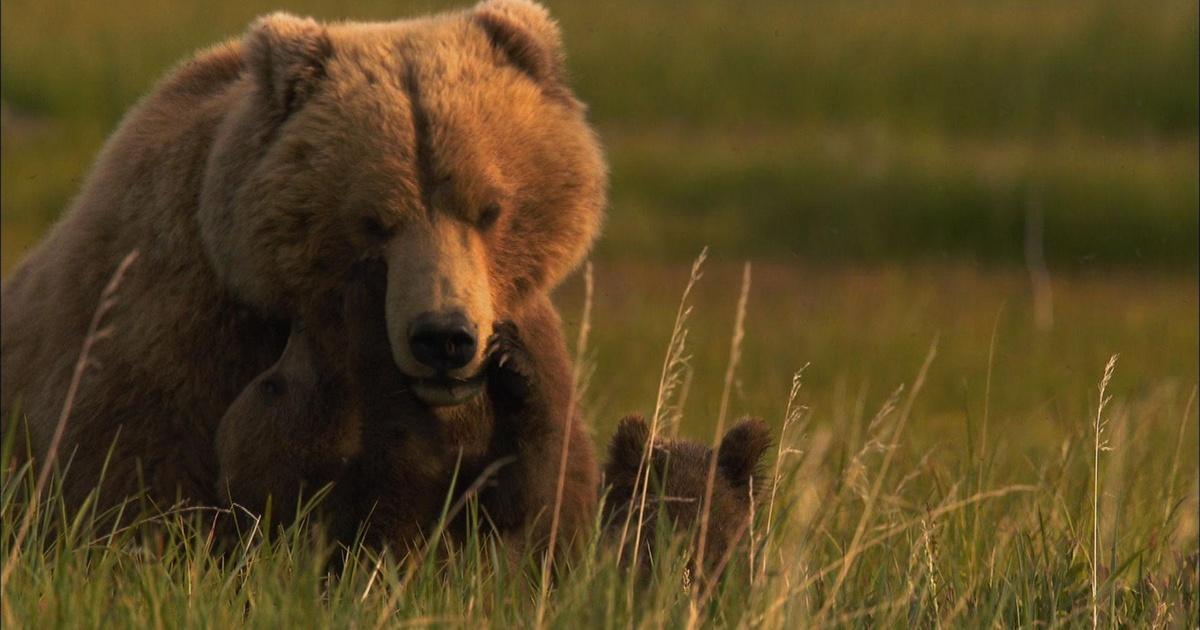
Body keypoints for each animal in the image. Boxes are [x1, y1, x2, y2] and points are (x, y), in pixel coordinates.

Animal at [216, 261, 597, 552]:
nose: (298, 323)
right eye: (270, 385)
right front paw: (368, 299)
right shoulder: (357, 516)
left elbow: (512, 497)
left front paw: (512, 361)